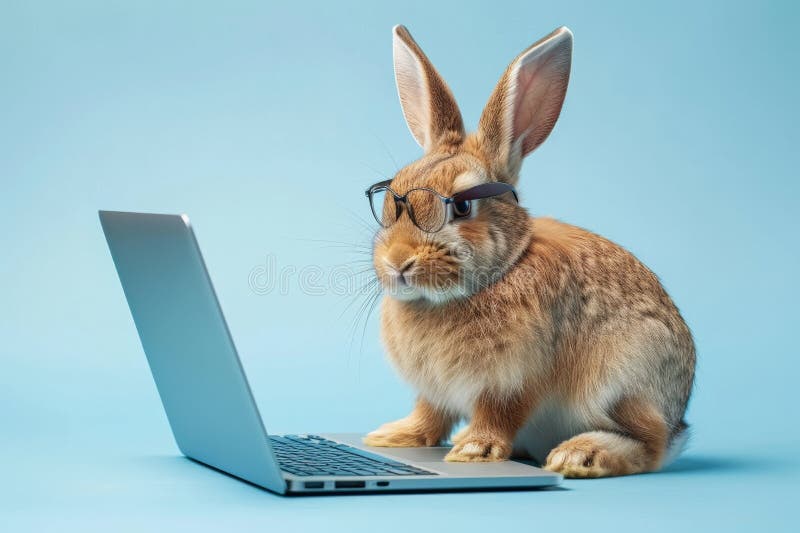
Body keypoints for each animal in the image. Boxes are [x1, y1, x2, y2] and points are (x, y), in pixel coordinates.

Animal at [362, 25, 695, 478]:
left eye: (461, 206)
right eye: (391, 196)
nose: (398, 262)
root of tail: (678, 421)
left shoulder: (514, 379)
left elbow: (498, 413)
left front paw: (474, 451)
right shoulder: (434, 391)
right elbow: (430, 414)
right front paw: (393, 436)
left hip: (621, 381)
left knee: (649, 446)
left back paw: (580, 454)